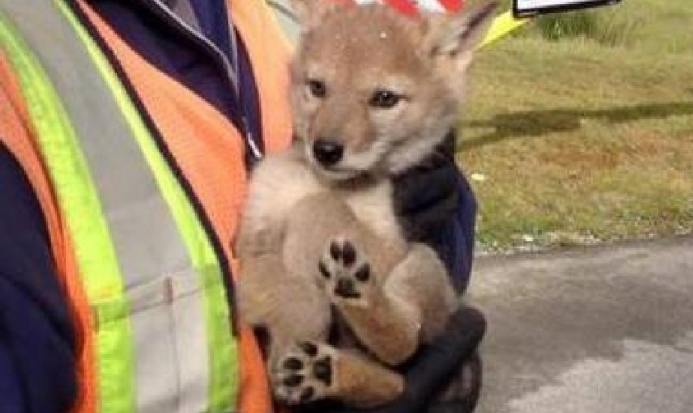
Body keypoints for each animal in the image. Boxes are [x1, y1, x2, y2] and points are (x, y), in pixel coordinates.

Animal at [236, 0, 496, 408]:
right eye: (317, 87)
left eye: (385, 98)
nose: (326, 150)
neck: (329, 185)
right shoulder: (251, 254)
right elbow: (302, 297)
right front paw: (291, 353)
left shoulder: (391, 242)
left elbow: (319, 210)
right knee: (392, 381)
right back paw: (320, 369)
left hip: (425, 262)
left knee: (400, 355)